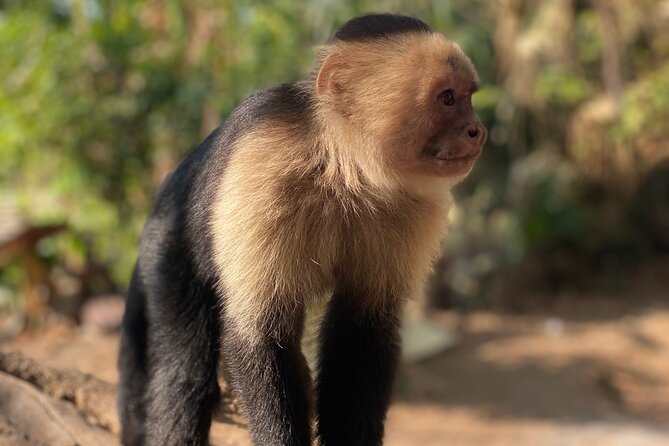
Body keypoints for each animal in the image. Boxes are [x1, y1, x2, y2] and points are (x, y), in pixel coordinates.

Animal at [118, 13, 486, 446]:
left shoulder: (416, 205)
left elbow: (361, 331)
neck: (344, 170)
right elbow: (258, 335)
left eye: (470, 96)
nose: (477, 130)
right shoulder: (264, 159)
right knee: (185, 375)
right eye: (447, 98)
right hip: (166, 247)